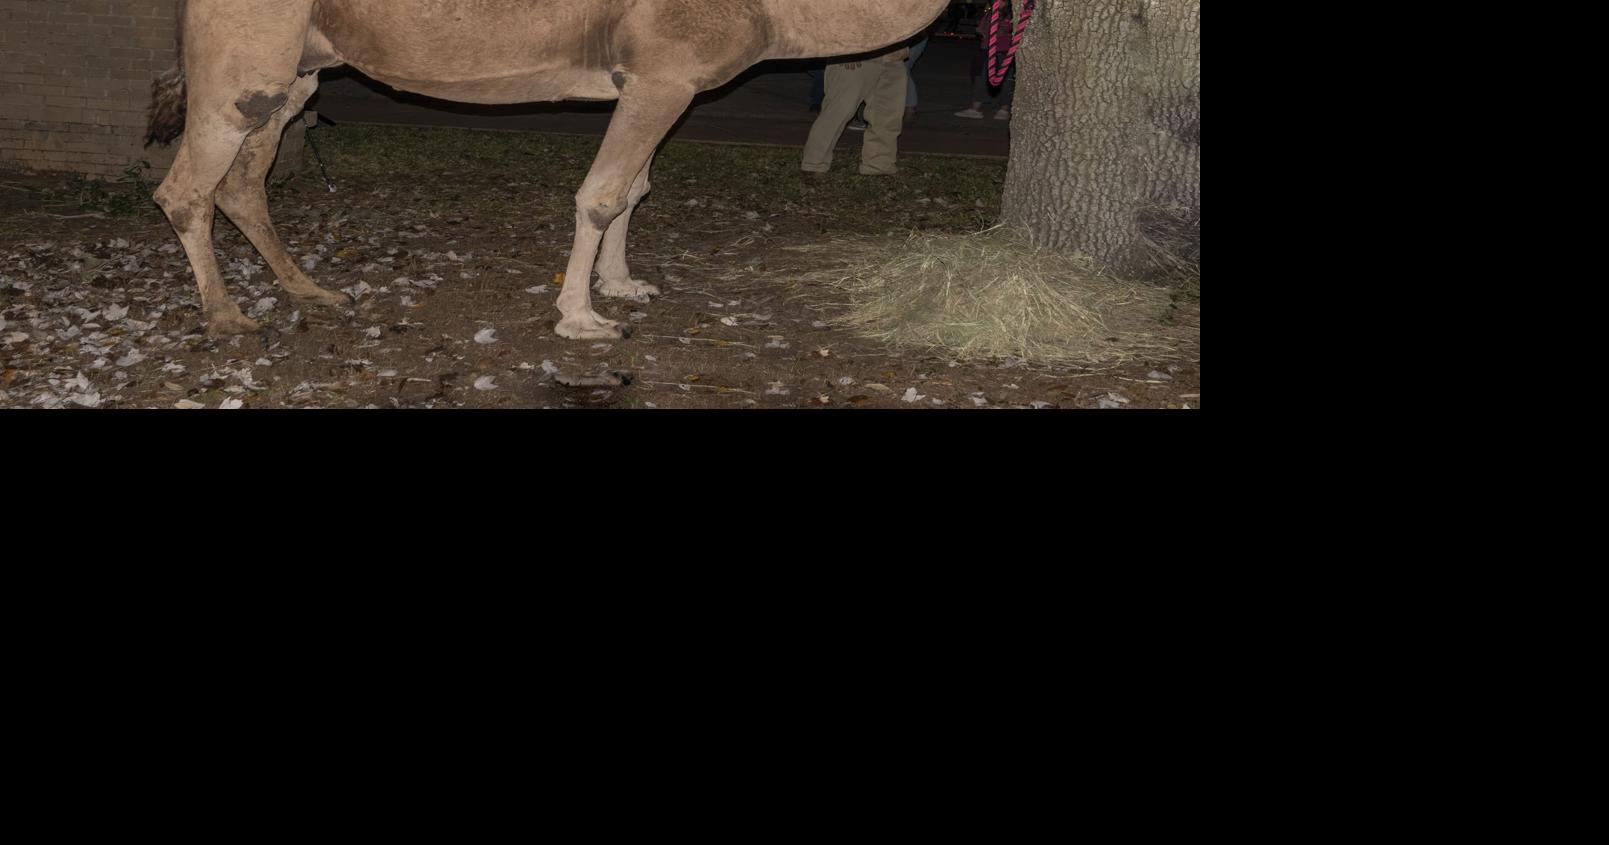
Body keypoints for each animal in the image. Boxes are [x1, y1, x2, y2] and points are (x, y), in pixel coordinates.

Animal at [146, 0, 948, 339]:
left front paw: (622, 284)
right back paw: (226, 316)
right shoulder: (665, 72)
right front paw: (581, 318)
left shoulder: (656, 82)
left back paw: (313, 290)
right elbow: (601, 194)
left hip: (296, 70)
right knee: (183, 188)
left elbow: (637, 188)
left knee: (243, 182)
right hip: (241, 62)